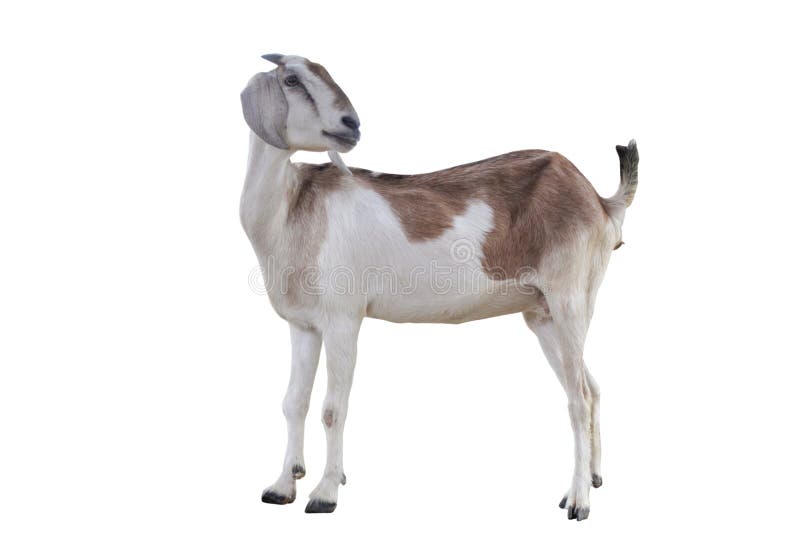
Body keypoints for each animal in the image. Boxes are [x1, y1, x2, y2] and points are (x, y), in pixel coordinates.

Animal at [240, 53, 638, 521]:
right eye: (292, 79)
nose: (350, 124)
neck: (292, 208)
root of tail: (598, 199)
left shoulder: (343, 320)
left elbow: (333, 409)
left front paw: (324, 493)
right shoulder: (303, 325)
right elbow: (293, 403)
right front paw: (282, 486)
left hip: (570, 298)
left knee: (578, 399)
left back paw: (577, 500)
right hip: (543, 316)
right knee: (592, 388)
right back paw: (593, 478)